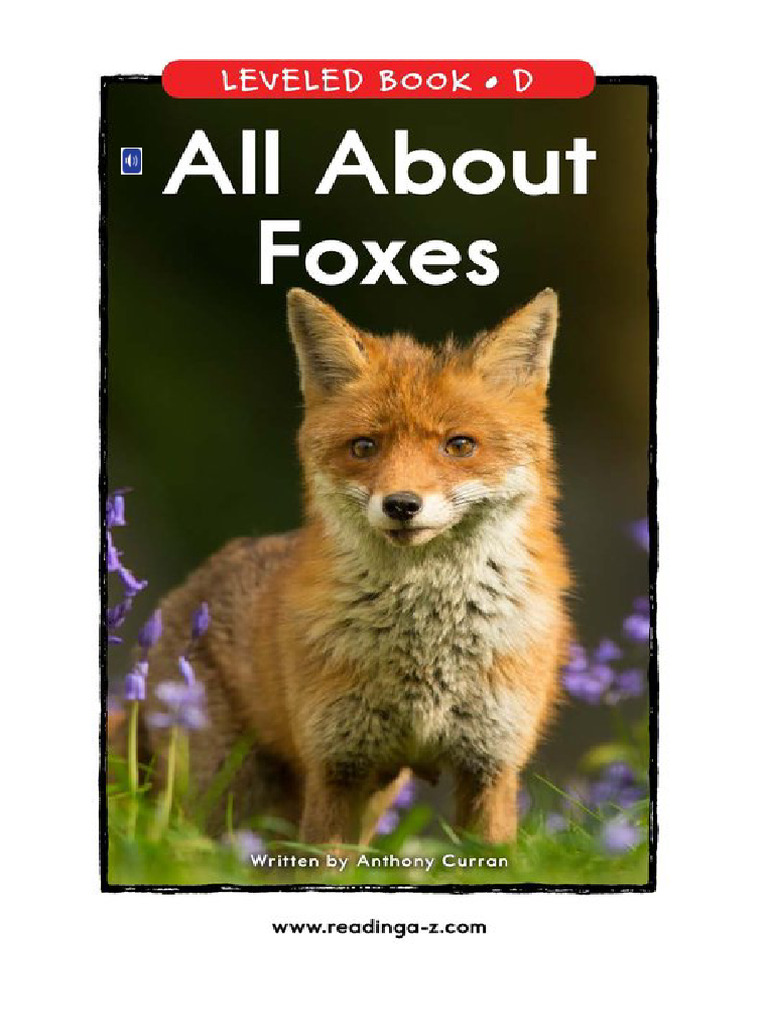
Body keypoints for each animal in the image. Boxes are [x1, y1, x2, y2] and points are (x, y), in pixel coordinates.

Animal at [138, 287, 571, 846]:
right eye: (365, 446)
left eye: (459, 445)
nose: (402, 505)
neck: (426, 644)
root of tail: (188, 588)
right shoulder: (338, 766)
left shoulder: (490, 765)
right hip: (231, 797)